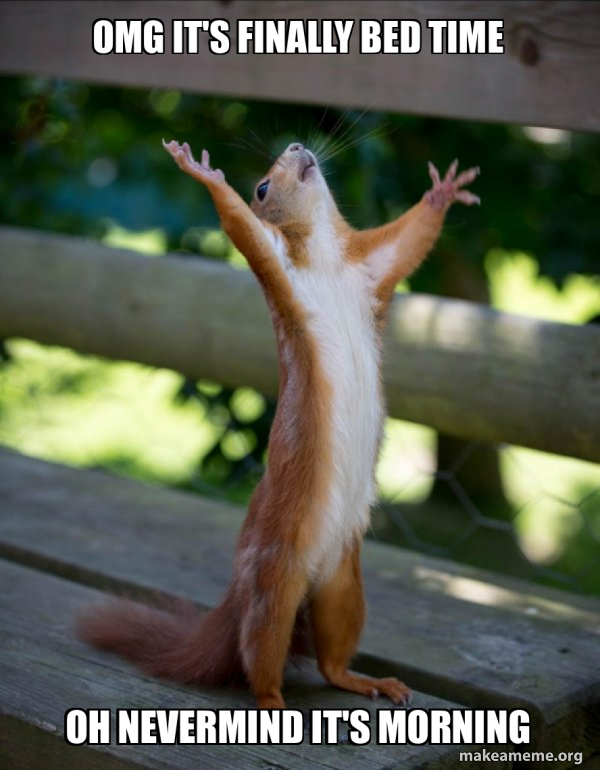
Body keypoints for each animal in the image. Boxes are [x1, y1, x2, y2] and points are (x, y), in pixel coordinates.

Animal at [78, 138, 479, 709]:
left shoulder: (372, 267)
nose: (296, 146)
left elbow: (410, 240)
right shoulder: (277, 264)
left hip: (344, 586)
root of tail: (238, 595)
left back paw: (366, 680)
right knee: (259, 655)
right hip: (274, 583)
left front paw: (442, 192)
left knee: (332, 659)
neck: (327, 258)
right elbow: (240, 225)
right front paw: (203, 173)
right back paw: (273, 701)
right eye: (262, 187)